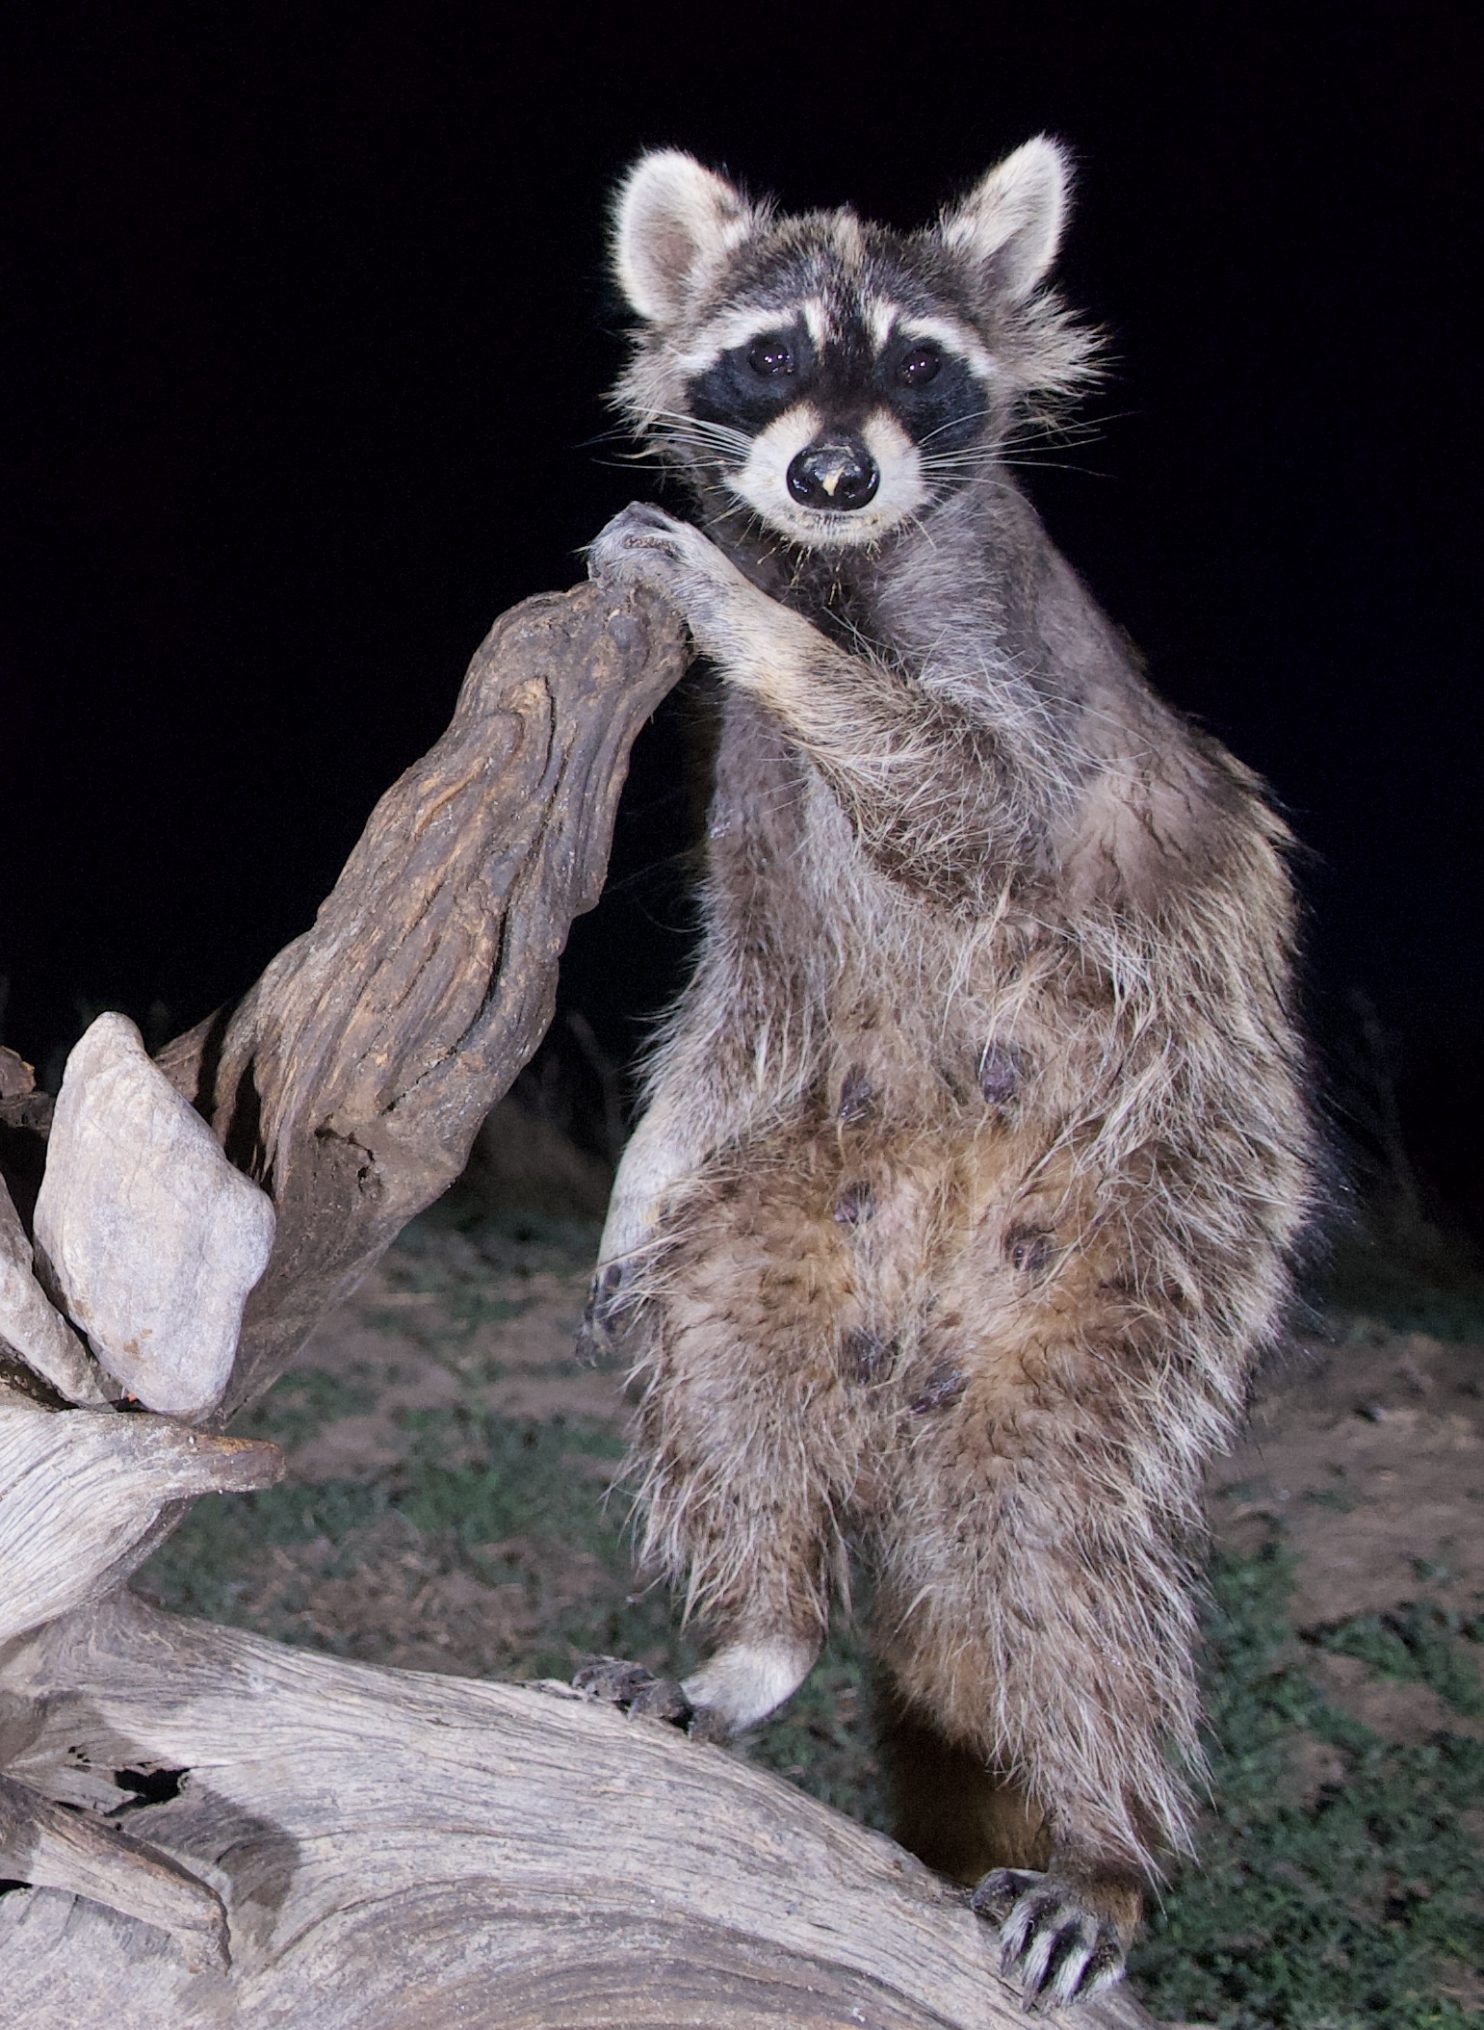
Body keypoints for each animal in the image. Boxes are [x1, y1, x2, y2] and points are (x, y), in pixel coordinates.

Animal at [577, 140, 1316, 2006]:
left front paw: (746, 610)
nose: (831, 473)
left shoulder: (1001, 661)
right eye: (770, 353)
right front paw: (635, 1163)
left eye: (916, 364)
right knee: (715, 1376)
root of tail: (918, 1359)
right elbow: (739, 997)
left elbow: (965, 797)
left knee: (1063, 1551)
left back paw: (1105, 1850)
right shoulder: (750, 821)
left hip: (1159, 1237)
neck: (847, 554)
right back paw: (755, 1633)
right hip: (784, 1207)